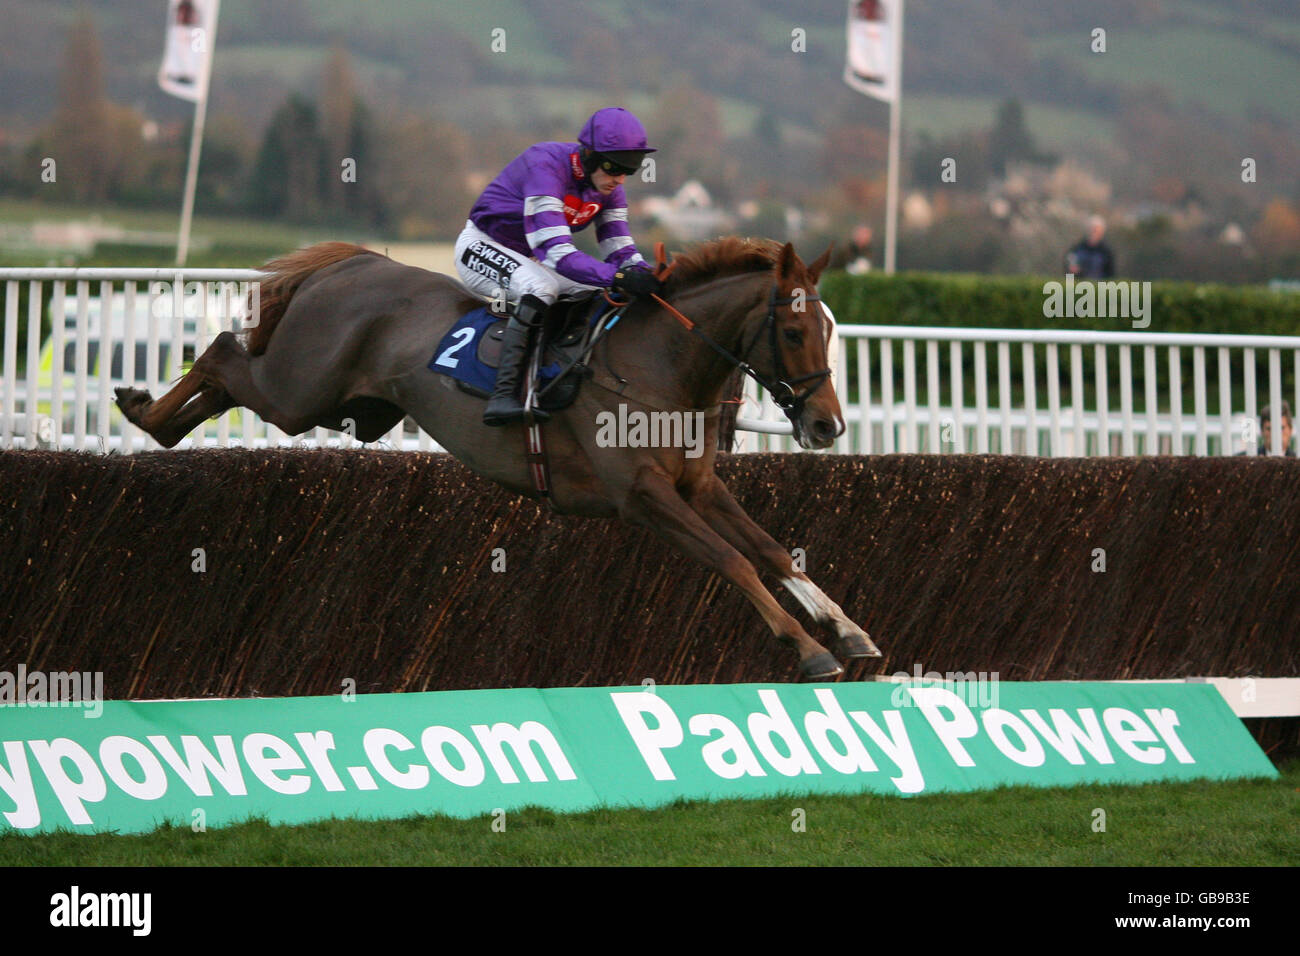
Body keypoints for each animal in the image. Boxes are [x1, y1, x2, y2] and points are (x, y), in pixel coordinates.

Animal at [115, 237, 880, 680]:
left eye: (830, 328)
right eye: (792, 330)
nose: (827, 424)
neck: (656, 365)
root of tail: (352, 262)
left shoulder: (698, 485)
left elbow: (773, 551)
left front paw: (851, 632)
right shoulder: (642, 496)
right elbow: (731, 560)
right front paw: (809, 648)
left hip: (349, 408)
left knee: (224, 377)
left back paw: (159, 423)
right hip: (299, 392)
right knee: (221, 353)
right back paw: (142, 409)